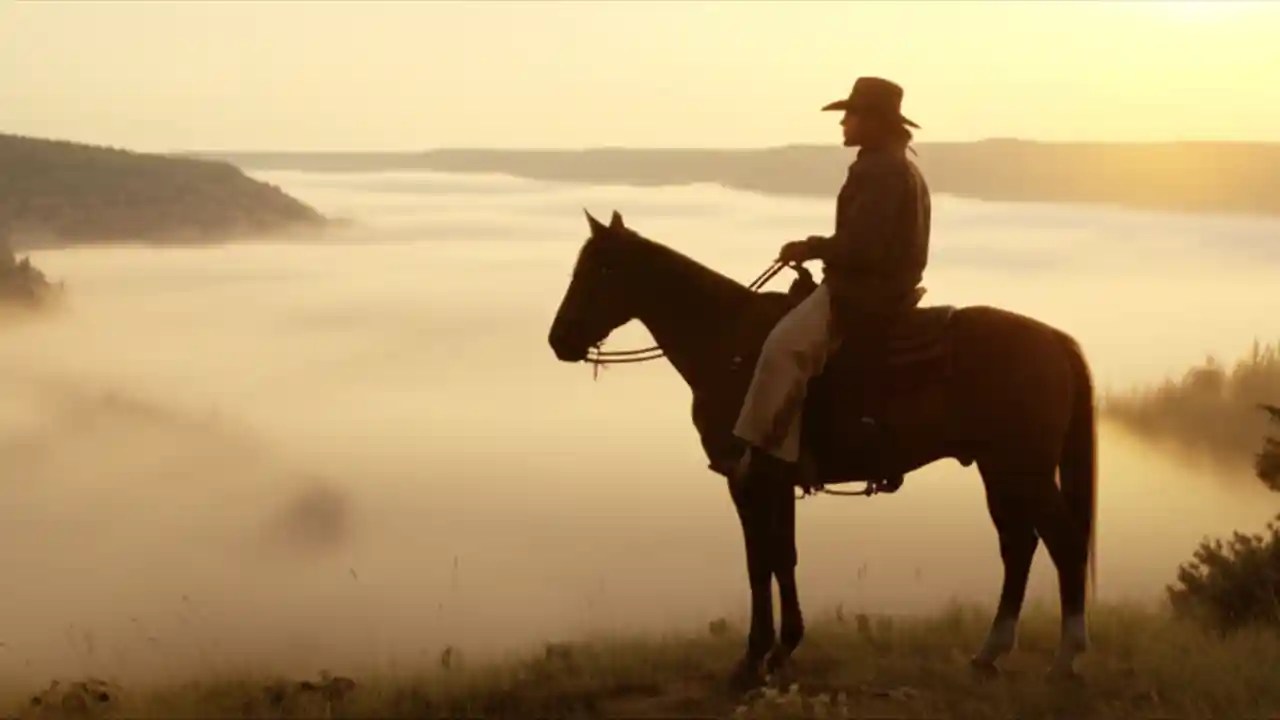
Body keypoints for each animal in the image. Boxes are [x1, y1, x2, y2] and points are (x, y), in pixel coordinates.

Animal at [547, 210, 1098, 691]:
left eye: (599, 269)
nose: (559, 340)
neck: (729, 343)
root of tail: (1055, 340)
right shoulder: (771, 479)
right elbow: (781, 558)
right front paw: (781, 650)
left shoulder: (750, 479)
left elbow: (761, 562)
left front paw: (755, 658)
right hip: (1000, 471)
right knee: (1019, 546)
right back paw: (989, 654)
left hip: (1022, 471)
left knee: (1063, 543)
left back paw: (1065, 659)